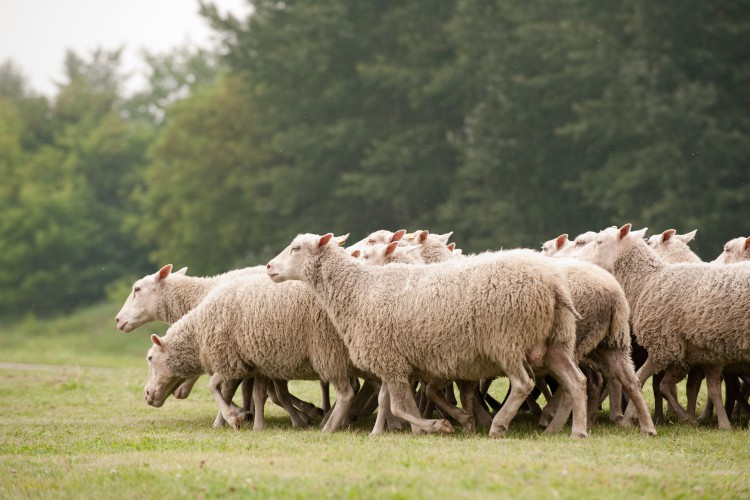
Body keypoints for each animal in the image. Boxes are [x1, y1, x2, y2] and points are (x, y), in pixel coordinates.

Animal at [143, 274, 357, 432]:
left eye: (150, 358)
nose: (146, 395)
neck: (198, 332)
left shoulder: (230, 360)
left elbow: (215, 387)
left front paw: (232, 419)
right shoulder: (256, 362)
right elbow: (256, 393)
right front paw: (253, 422)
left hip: (329, 350)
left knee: (346, 392)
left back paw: (330, 425)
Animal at [267, 233, 589, 438]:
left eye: (296, 248)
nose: (269, 266)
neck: (358, 288)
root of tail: (552, 283)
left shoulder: (390, 361)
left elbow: (398, 406)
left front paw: (439, 426)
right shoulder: (394, 361)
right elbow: (397, 403)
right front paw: (422, 428)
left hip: (506, 340)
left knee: (524, 383)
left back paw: (499, 426)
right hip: (557, 341)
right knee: (576, 381)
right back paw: (574, 431)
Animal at [575, 223, 750, 430]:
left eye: (600, 241)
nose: (578, 259)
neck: (647, 282)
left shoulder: (663, 346)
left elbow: (642, 379)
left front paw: (631, 418)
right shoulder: (707, 352)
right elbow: (711, 389)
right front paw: (721, 423)